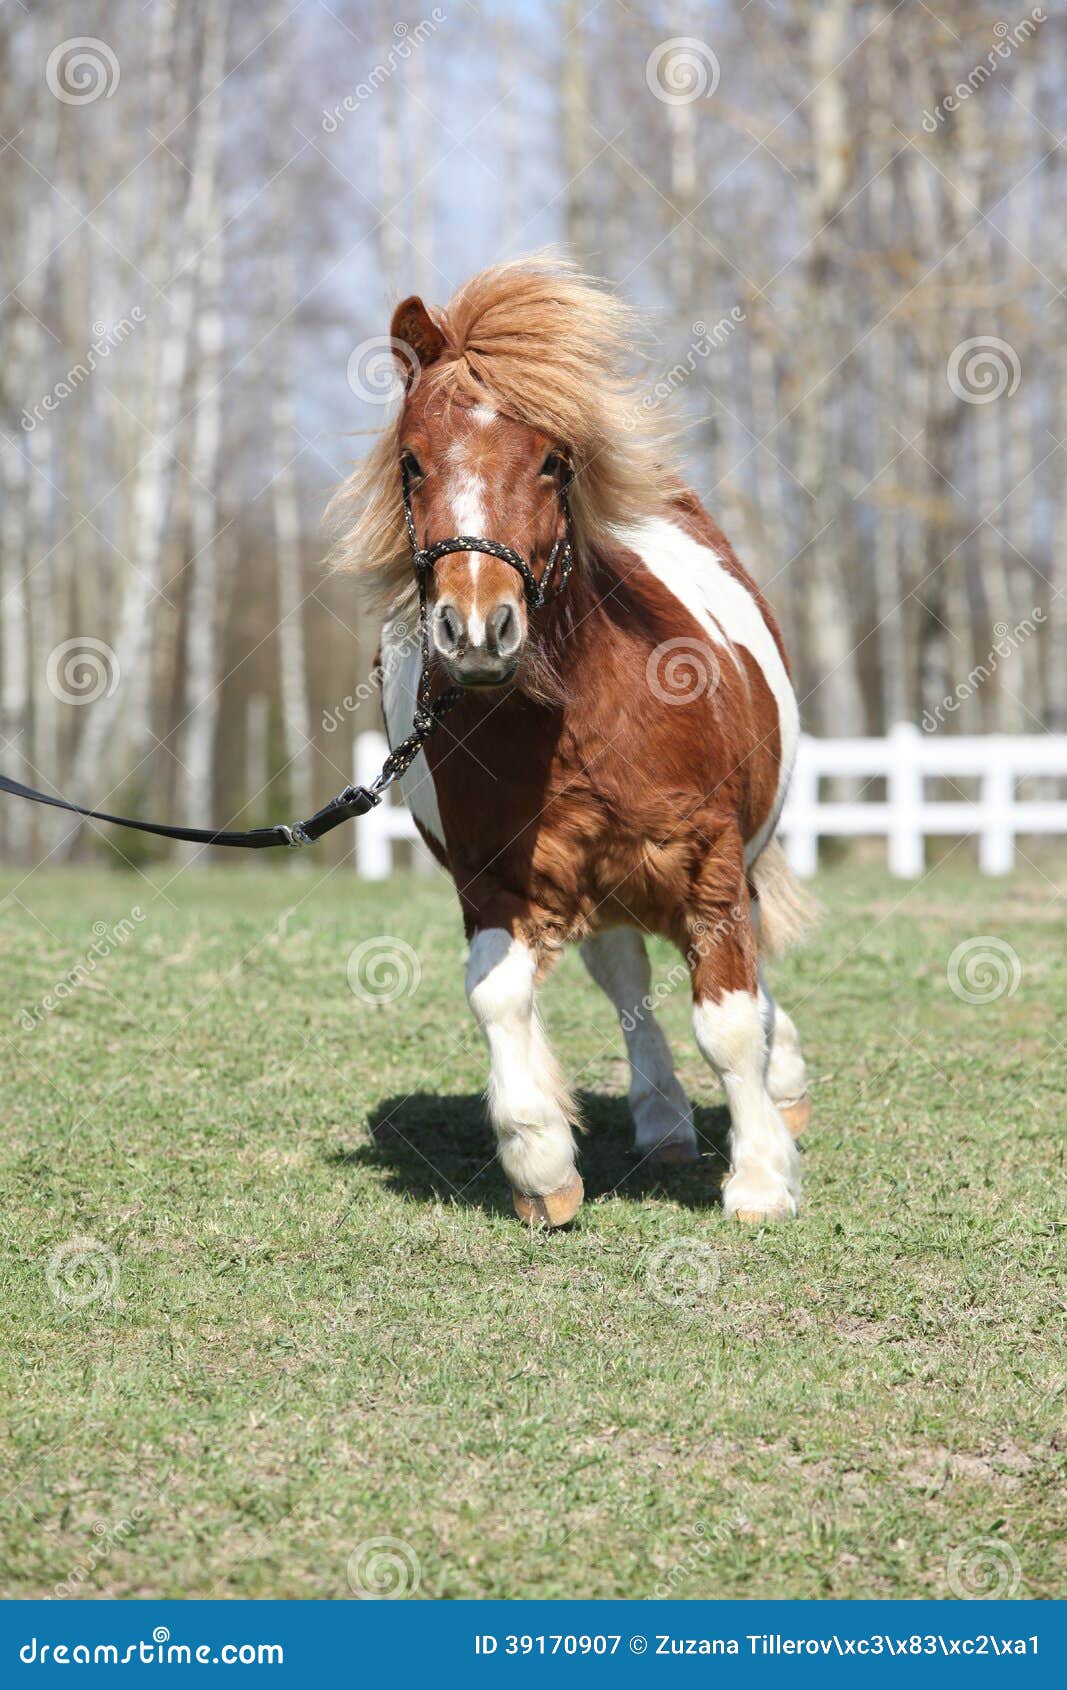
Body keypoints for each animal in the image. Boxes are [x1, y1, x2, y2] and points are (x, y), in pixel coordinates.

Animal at [329, 257, 815, 1229]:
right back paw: (662, 1124)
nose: (477, 630)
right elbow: (498, 996)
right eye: (411, 462)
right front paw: (540, 1163)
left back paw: (778, 1086)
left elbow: (728, 1015)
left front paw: (759, 1181)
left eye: (553, 460)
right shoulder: (494, 878)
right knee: (623, 977)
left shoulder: (708, 858)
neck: (574, 717)